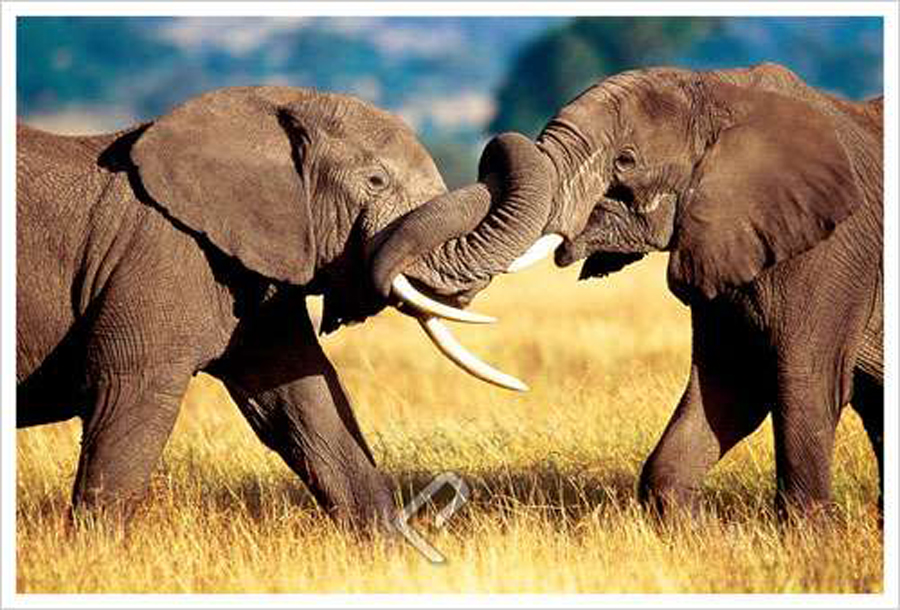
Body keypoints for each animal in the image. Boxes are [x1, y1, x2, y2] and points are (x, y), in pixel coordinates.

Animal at [16, 86, 552, 527]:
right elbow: (131, 400)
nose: (494, 141)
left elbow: (305, 401)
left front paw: (397, 557)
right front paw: (95, 552)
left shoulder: (258, 272)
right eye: (376, 181)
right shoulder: (162, 255)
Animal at [378, 63, 883, 519]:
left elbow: (805, 383)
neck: (724, 90)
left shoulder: (831, 252)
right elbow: (731, 386)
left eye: (625, 161)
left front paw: (806, 535)